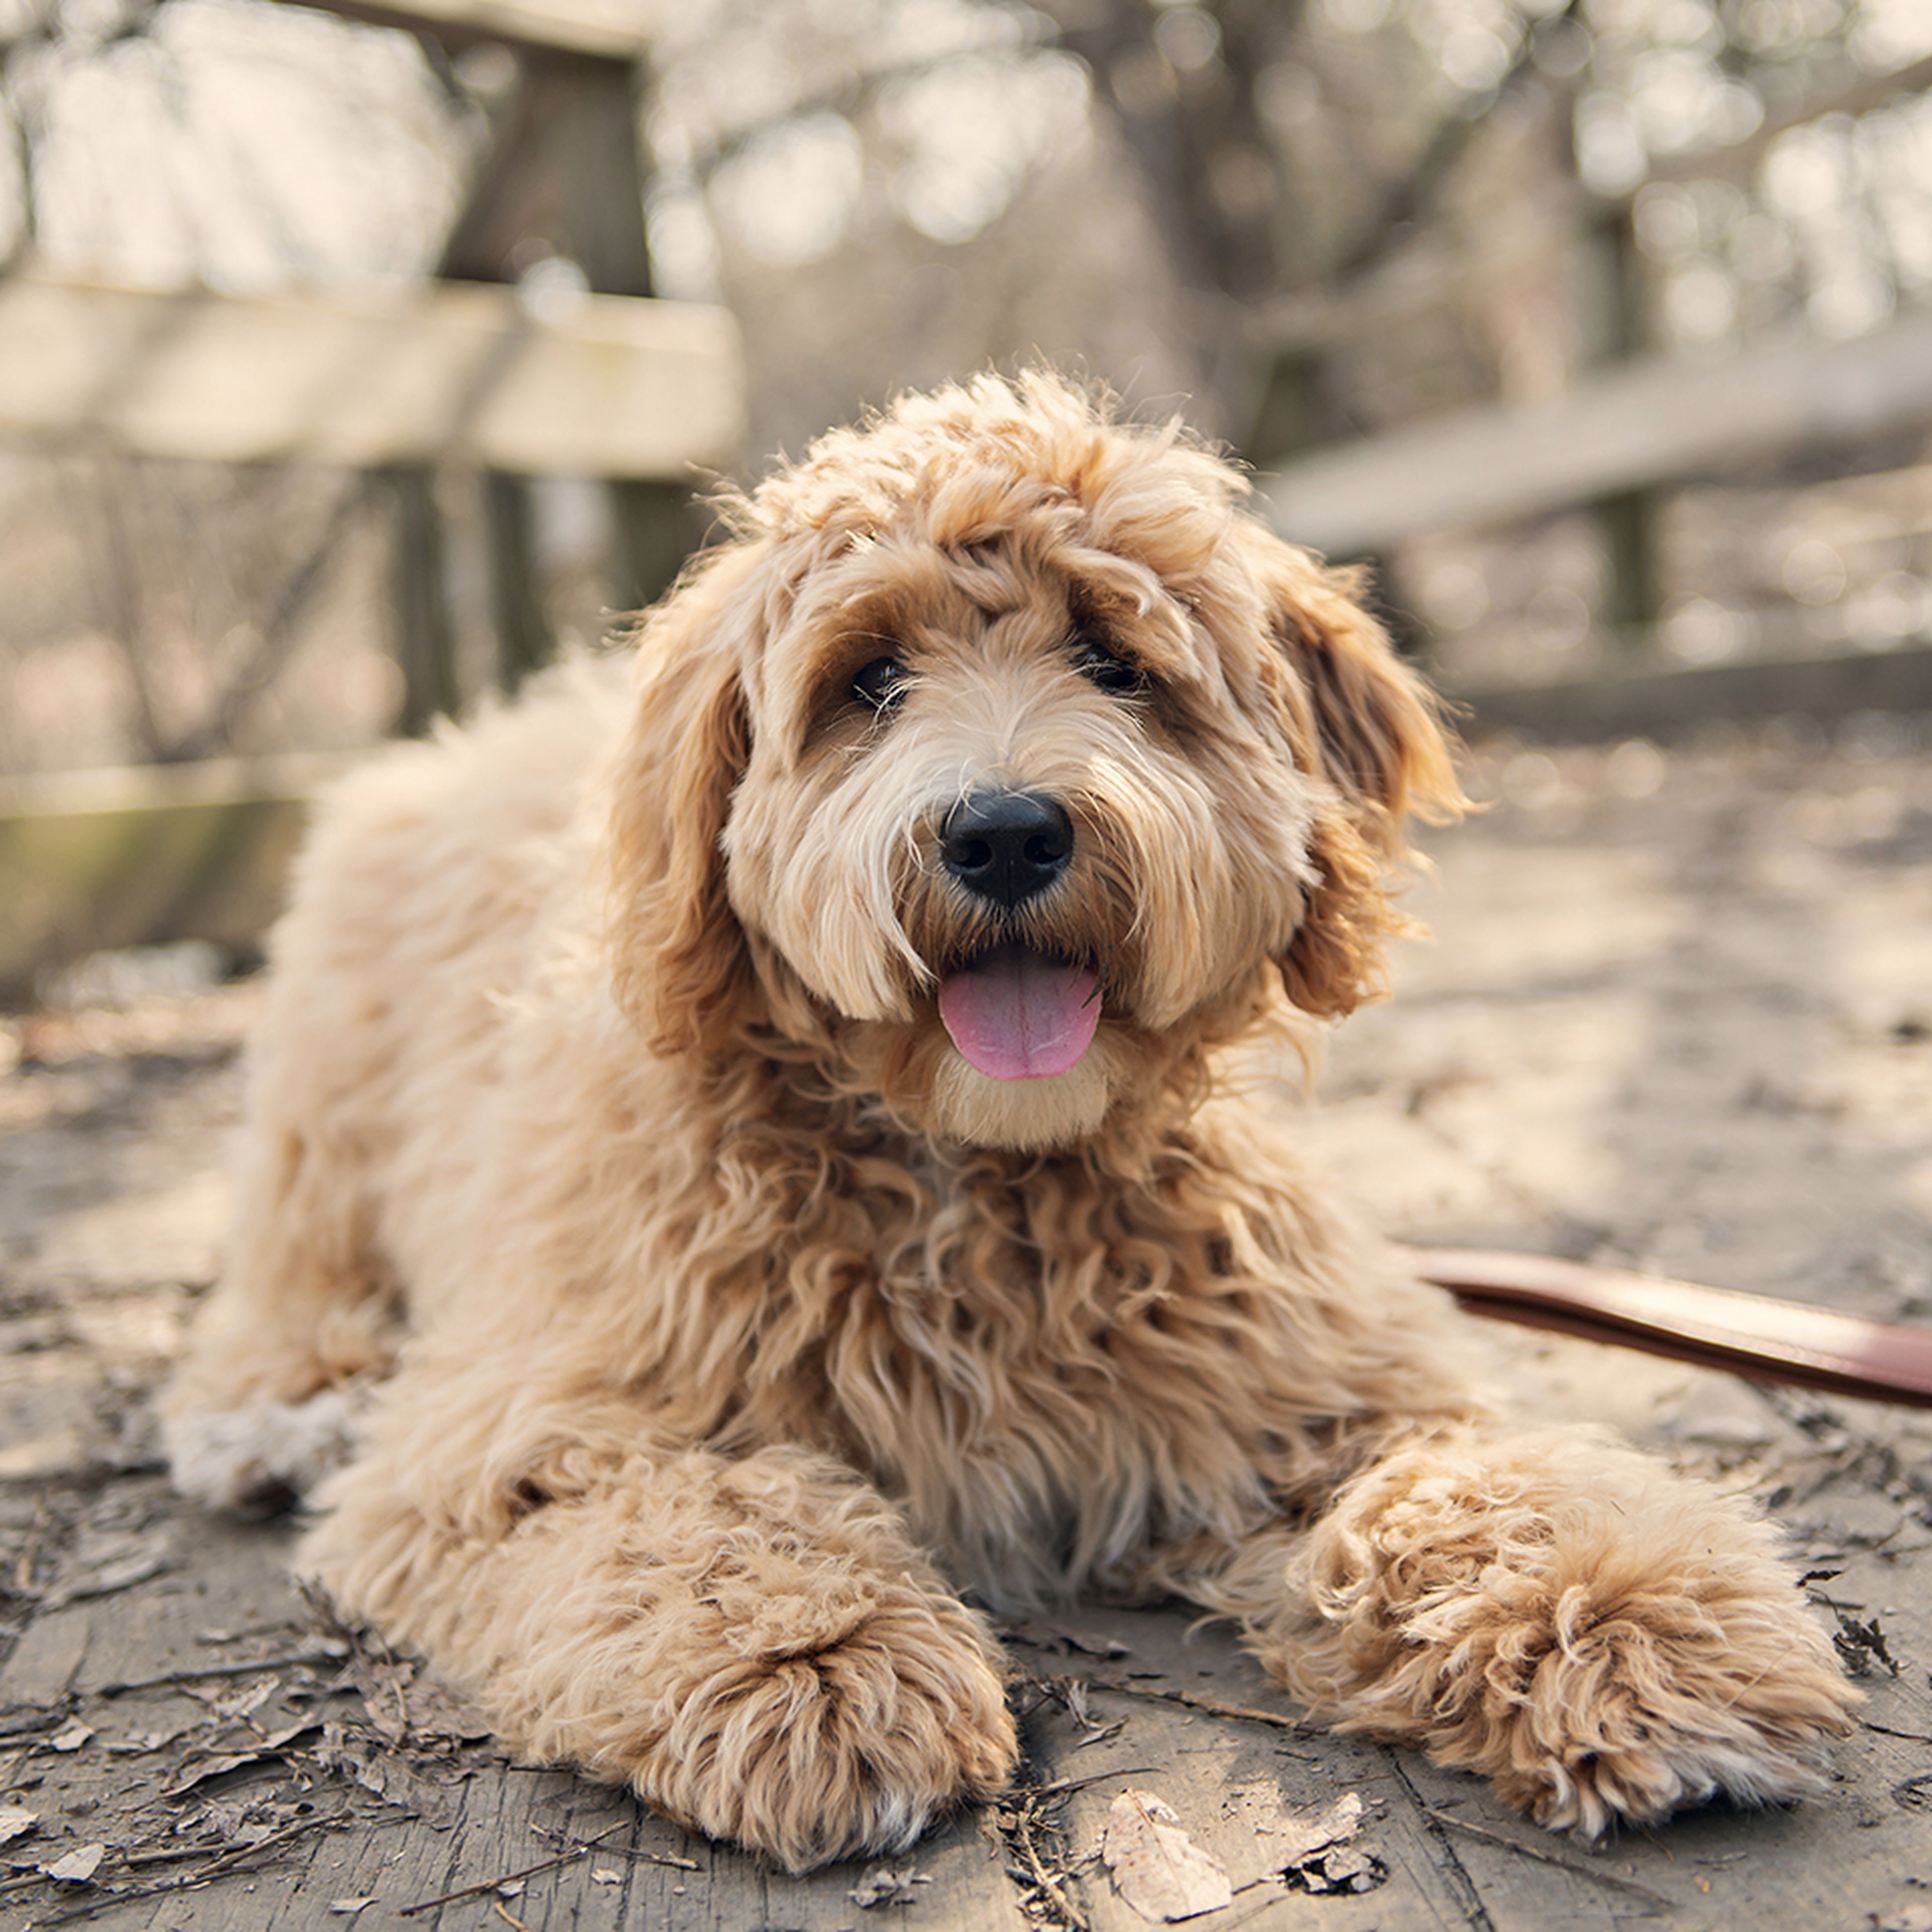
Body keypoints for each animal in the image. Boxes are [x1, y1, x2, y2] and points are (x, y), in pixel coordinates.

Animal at [166, 373, 1855, 1870]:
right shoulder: (511, 1433)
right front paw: (818, 1661)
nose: (1001, 831)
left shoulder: (1314, 1381)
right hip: (324, 1102)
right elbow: (683, 1509)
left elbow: (1476, 1483)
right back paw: (273, 1408)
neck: (978, 1173)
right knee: (287, 1268)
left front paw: (1627, 1617)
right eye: (865, 681)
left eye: (1114, 660)